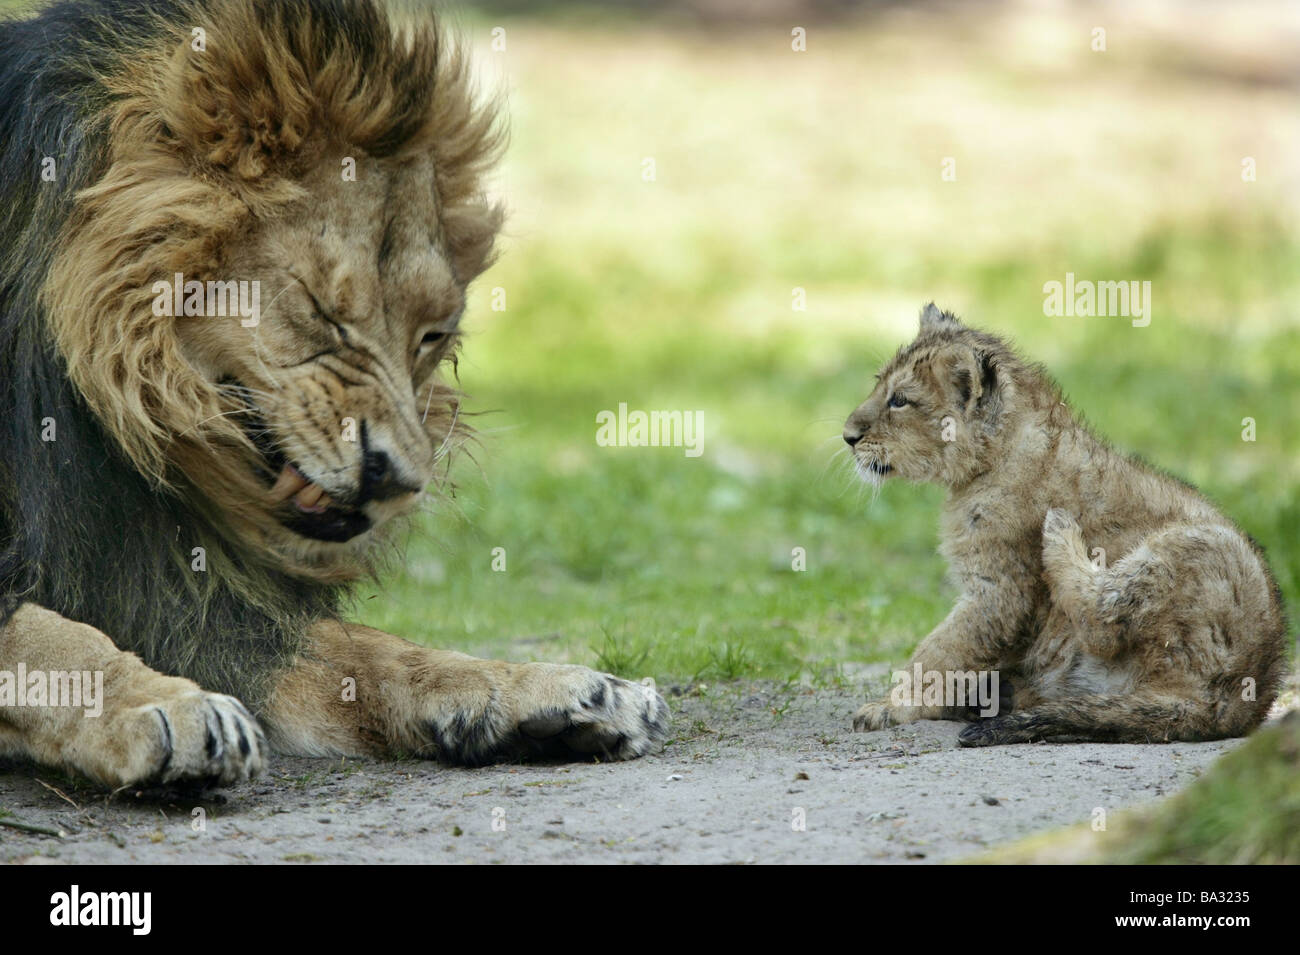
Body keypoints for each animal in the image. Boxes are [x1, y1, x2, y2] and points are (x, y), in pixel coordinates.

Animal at [0, 0, 668, 789]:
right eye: (323, 312)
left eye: (431, 335)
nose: (397, 481)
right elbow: (49, 636)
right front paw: (169, 707)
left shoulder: (187, 594)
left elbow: (370, 650)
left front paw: (552, 689)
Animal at [844, 304, 1287, 744]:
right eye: (878, 385)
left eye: (900, 400)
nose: (847, 436)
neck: (992, 458)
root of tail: (1228, 707)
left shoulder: (1000, 592)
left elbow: (940, 652)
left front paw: (889, 707)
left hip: (1199, 542)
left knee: (1101, 622)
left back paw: (1060, 532)